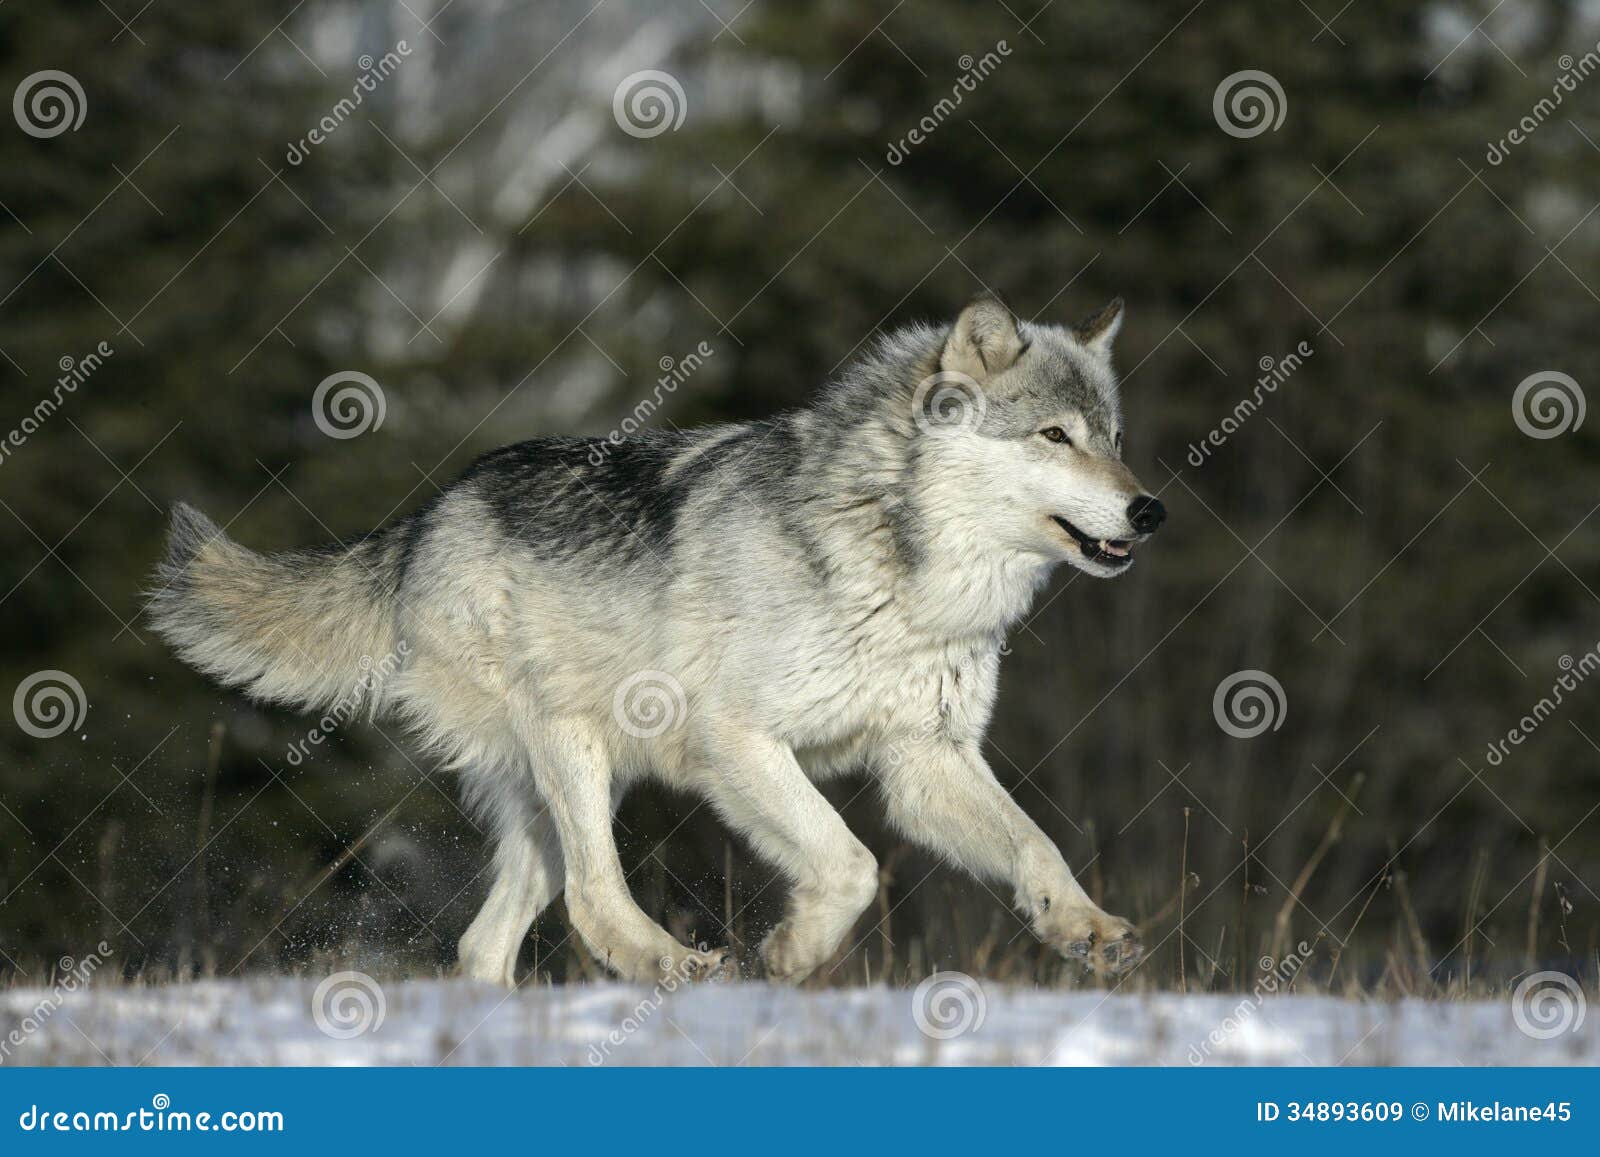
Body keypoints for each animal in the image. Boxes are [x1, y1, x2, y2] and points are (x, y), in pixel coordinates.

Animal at [150, 293, 1166, 987]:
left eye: (1115, 438)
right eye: (1055, 436)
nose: (1149, 510)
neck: (907, 578)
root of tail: (425, 517)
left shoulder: (927, 759)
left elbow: (1036, 847)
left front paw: (1086, 929)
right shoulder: (737, 739)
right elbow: (850, 863)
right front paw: (791, 952)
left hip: (556, 798)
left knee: (486, 941)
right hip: (575, 744)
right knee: (593, 900)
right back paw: (675, 965)